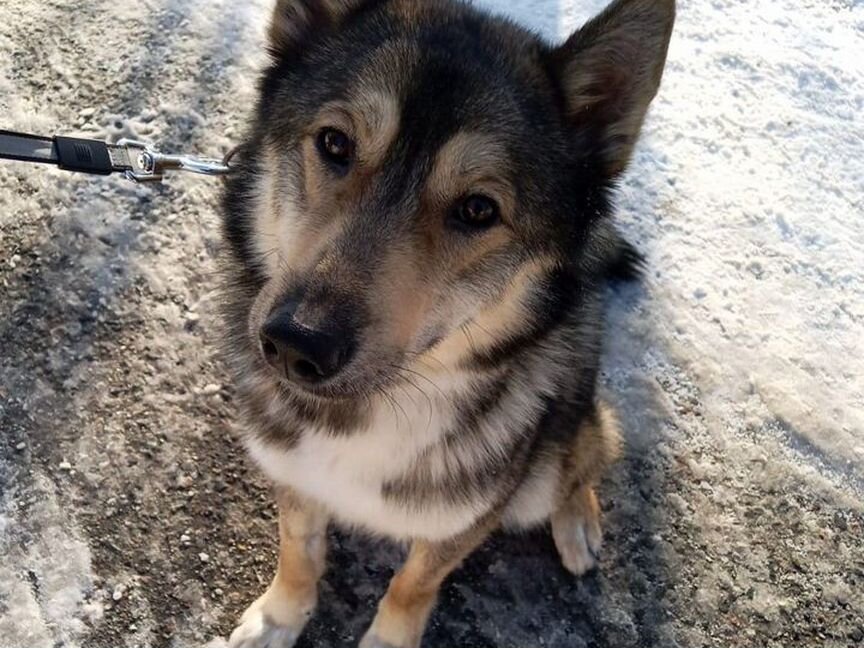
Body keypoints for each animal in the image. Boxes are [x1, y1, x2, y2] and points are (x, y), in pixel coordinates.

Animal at [218, 2, 676, 644]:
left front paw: (386, 639)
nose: (295, 343)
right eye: (334, 143)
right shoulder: (292, 470)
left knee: (584, 455)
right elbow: (298, 549)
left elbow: (413, 585)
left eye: (478, 209)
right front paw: (279, 617)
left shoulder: (466, 519)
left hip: (552, 449)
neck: (367, 413)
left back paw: (578, 521)